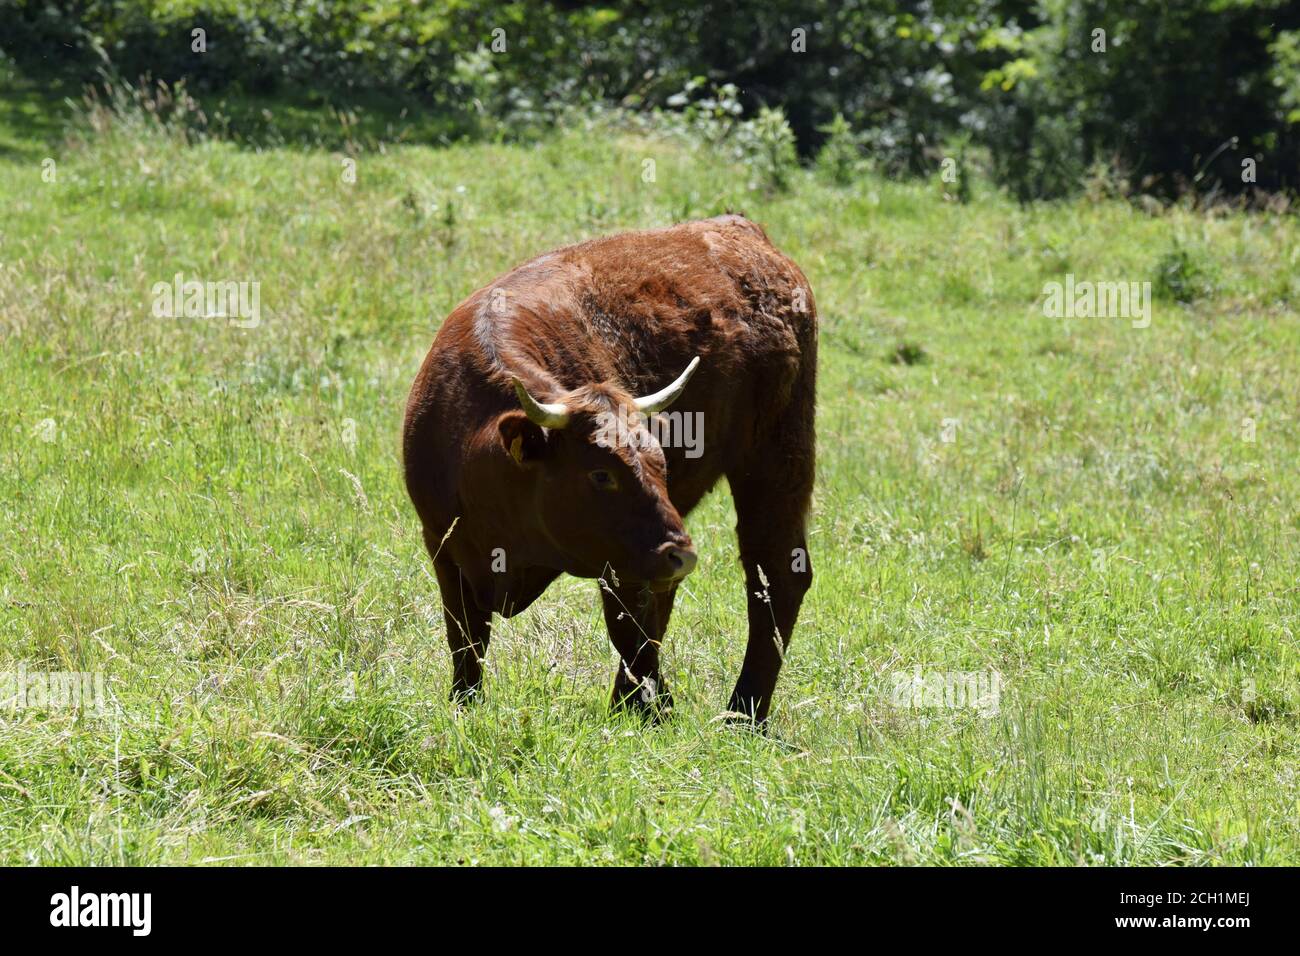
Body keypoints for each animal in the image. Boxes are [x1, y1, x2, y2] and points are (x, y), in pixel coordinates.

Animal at [403, 214, 816, 723]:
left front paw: (648, 708)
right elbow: (465, 639)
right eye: (601, 474)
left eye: (659, 463)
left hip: (776, 463)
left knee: (776, 574)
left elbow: (629, 632)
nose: (682, 555)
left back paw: (744, 711)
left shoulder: (623, 564)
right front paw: (465, 705)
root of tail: (738, 229)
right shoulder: (444, 547)